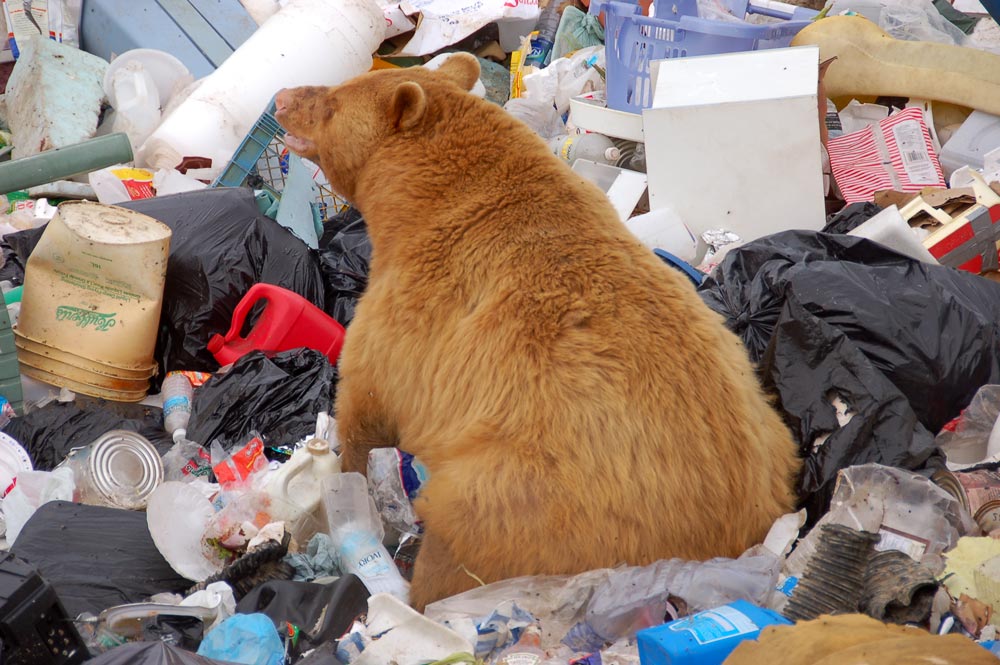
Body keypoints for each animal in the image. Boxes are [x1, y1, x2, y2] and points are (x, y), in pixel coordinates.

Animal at [274, 53, 801, 612]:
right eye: (339, 84)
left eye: (331, 102)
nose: (283, 97)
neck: (425, 201)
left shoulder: (414, 312)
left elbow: (367, 399)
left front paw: (340, 485)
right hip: (769, 431)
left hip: (519, 497)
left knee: (459, 554)